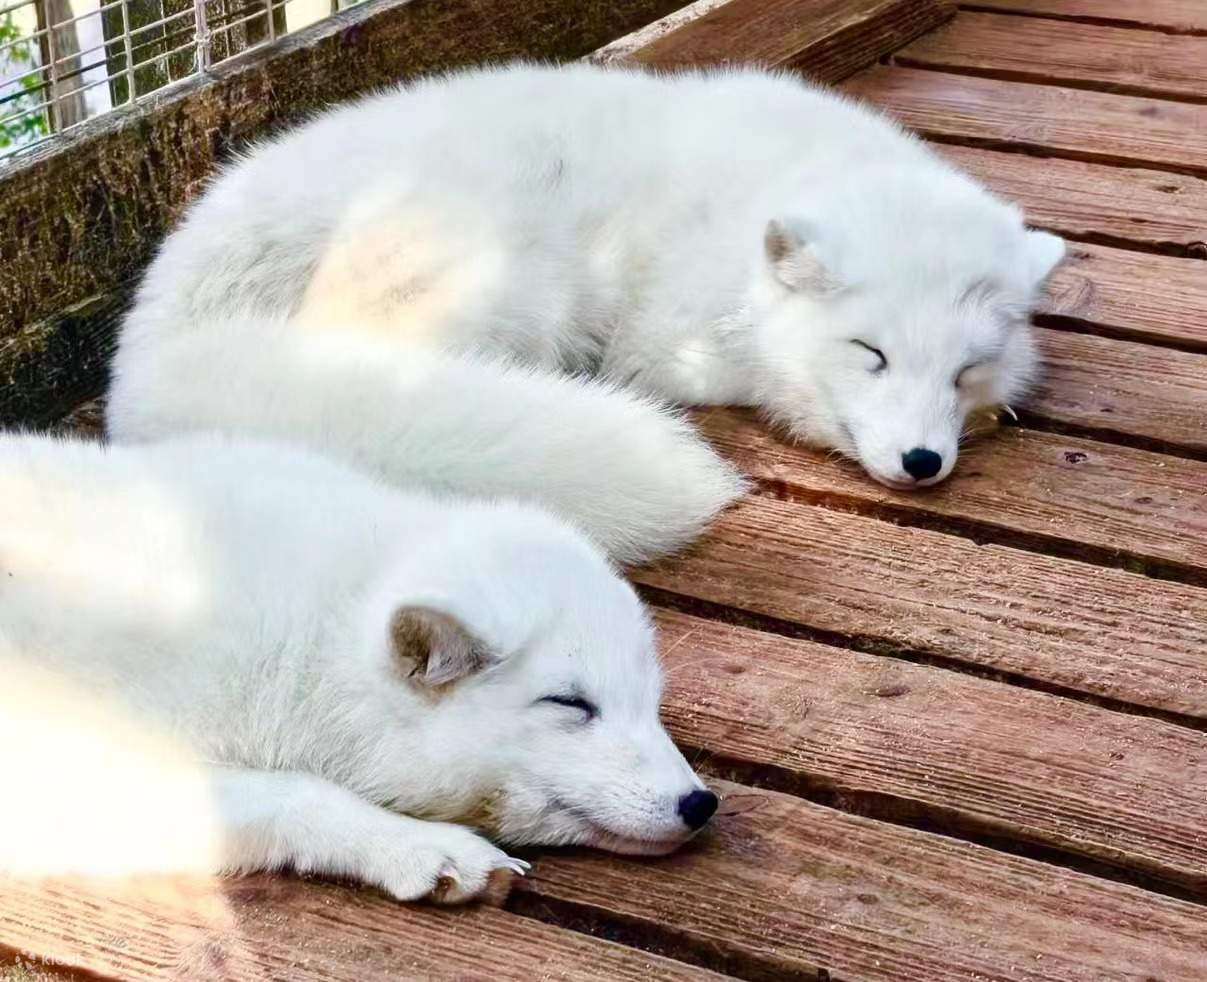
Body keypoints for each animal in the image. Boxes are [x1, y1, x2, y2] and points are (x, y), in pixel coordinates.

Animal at [0, 434, 717, 902]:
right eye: (570, 705)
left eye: (650, 701)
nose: (701, 803)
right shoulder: (74, 769)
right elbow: (292, 793)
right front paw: (420, 847)